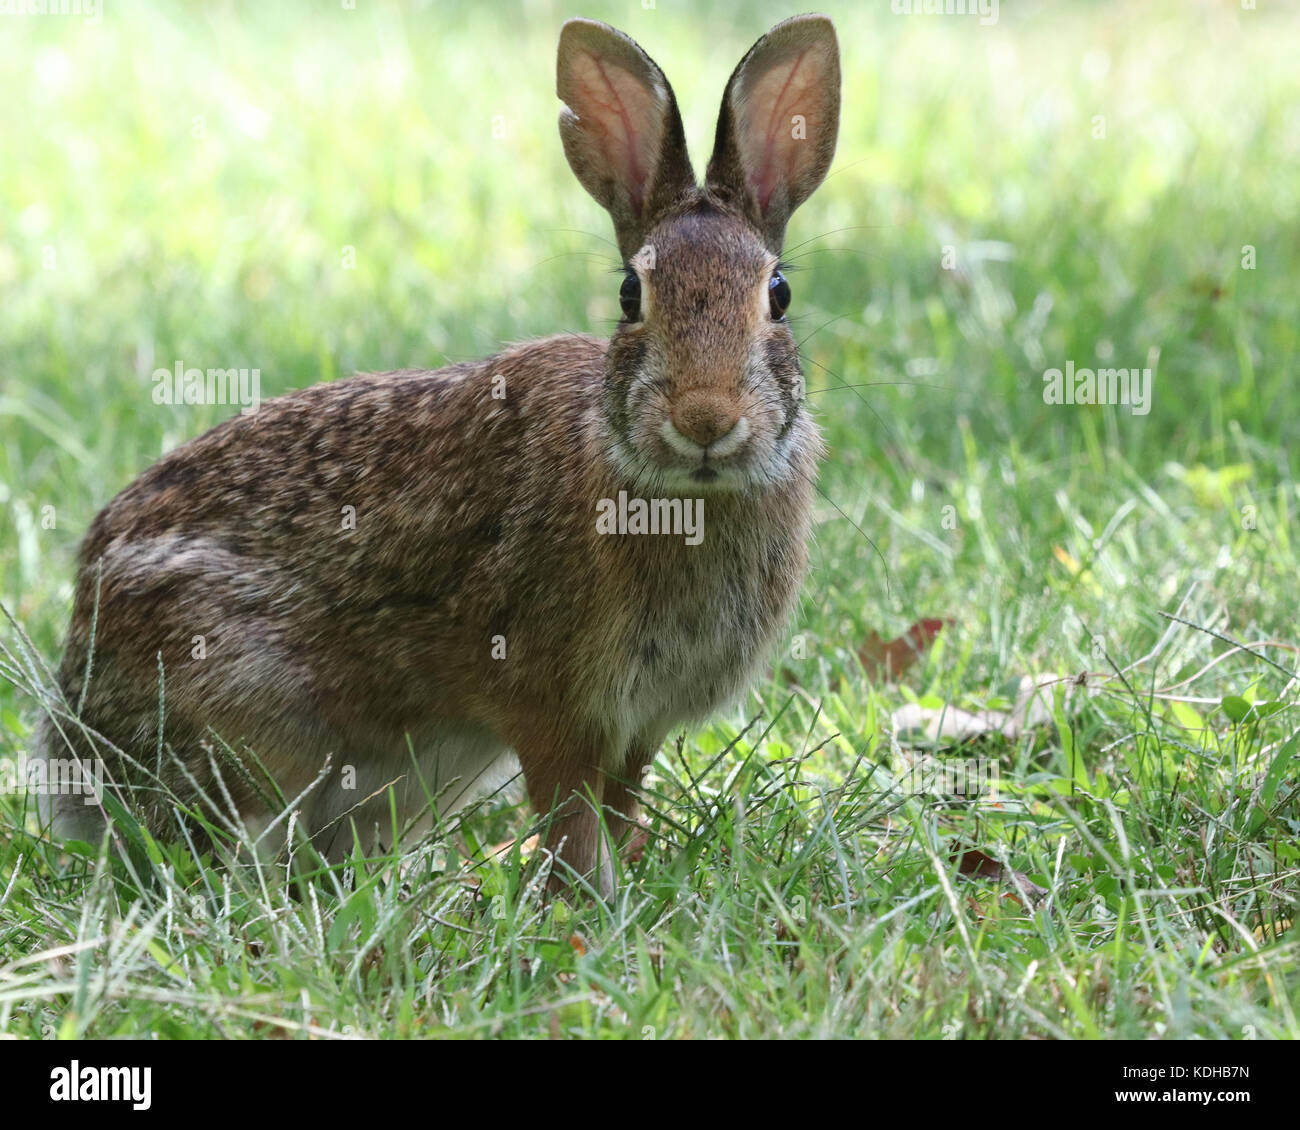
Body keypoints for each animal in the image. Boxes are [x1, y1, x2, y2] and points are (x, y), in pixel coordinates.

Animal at [33, 14, 841, 899]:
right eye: (631, 295)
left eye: (779, 295)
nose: (705, 418)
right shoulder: (549, 704)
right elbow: (569, 814)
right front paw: (581, 903)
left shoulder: (639, 727)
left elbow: (618, 805)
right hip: (246, 724)